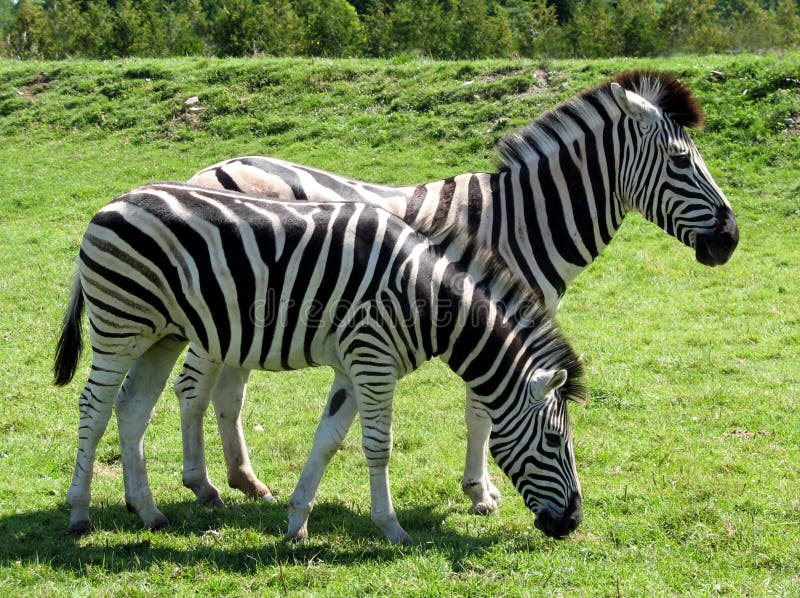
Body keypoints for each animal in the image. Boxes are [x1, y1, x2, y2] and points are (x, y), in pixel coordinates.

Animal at [54, 182, 587, 543]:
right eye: (555, 440)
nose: (573, 522)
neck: (426, 296)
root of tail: (113, 202)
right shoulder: (373, 360)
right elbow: (377, 447)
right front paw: (391, 527)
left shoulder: (354, 366)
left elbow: (327, 441)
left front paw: (296, 521)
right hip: (119, 326)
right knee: (94, 408)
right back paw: (79, 513)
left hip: (159, 336)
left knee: (132, 408)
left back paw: (147, 511)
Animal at [175, 70, 739, 514]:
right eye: (681, 161)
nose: (730, 240)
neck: (521, 220)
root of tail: (209, 168)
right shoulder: (487, 317)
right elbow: (481, 412)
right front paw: (480, 493)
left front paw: (479, 488)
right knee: (192, 388)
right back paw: (203, 485)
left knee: (228, 393)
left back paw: (247, 481)